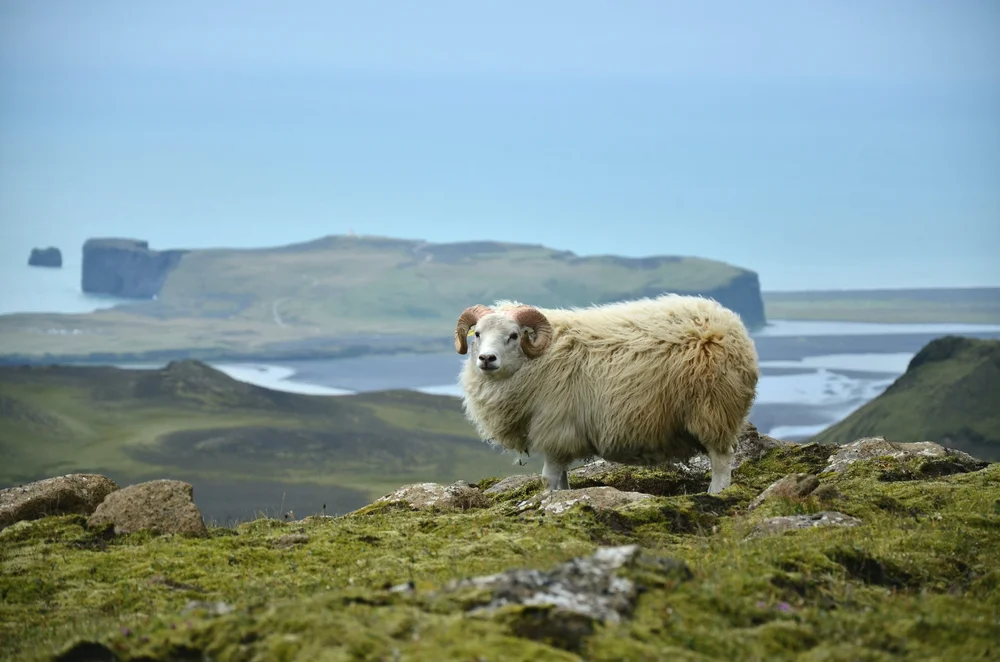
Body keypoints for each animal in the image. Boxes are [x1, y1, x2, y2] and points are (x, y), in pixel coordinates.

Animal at [454, 294, 760, 495]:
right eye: (477, 334)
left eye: (514, 336)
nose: (486, 359)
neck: (536, 359)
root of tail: (735, 328)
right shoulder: (562, 437)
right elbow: (562, 479)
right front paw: (564, 498)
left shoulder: (554, 429)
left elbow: (548, 479)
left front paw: (549, 501)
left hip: (714, 410)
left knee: (722, 461)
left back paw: (716, 494)